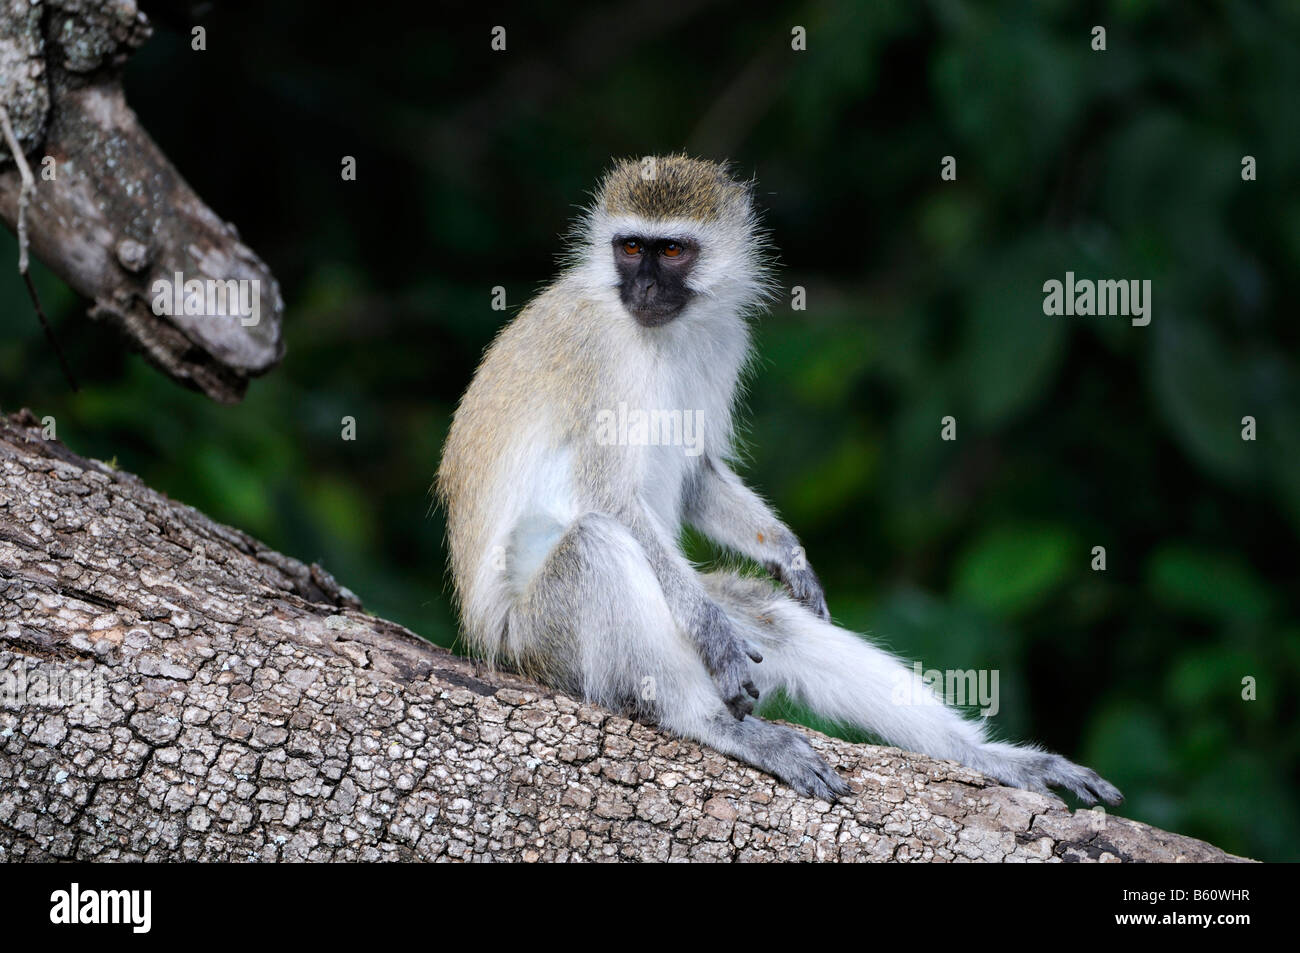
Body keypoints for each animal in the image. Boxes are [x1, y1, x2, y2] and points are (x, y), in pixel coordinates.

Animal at [436, 154, 1122, 805]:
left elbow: (697, 475)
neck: (662, 332)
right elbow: (609, 497)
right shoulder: (597, 352)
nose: (645, 285)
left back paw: (990, 759)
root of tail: (490, 644)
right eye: (630, 247)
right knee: (596, 547)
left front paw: (789, 554)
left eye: (671, 250)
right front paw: (714, 634)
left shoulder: (724, 338)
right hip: (540, 642)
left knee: (773, 620)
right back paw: (715, 723)